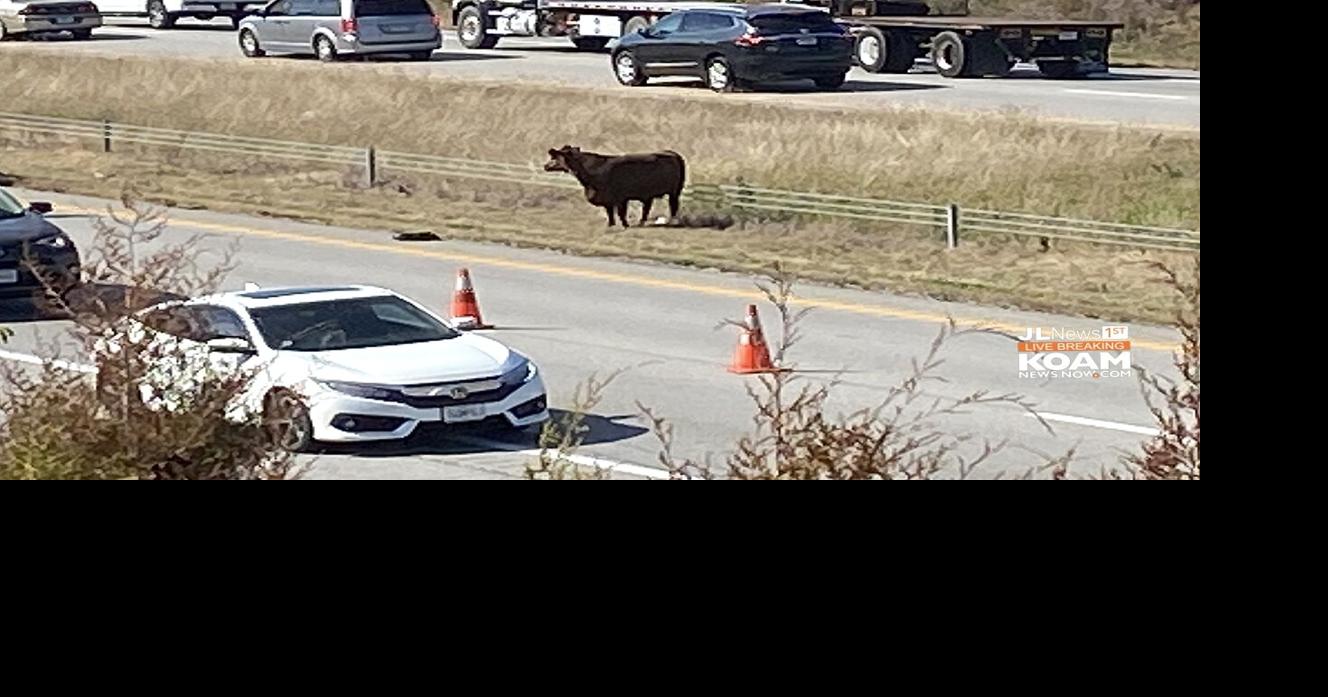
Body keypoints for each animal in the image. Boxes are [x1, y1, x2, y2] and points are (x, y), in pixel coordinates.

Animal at [543, 146, 686, 228]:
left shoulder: (621, 199)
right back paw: (641, 222)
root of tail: (673, 153)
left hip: (674, 192)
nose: (546, 166)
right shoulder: (608, 199)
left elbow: (621, 213)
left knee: (673, 206)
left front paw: (625, 225)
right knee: (646, 208)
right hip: (651, 195)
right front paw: (611, 225)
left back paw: (672, 222)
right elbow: (610, 213)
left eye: (555, 157)